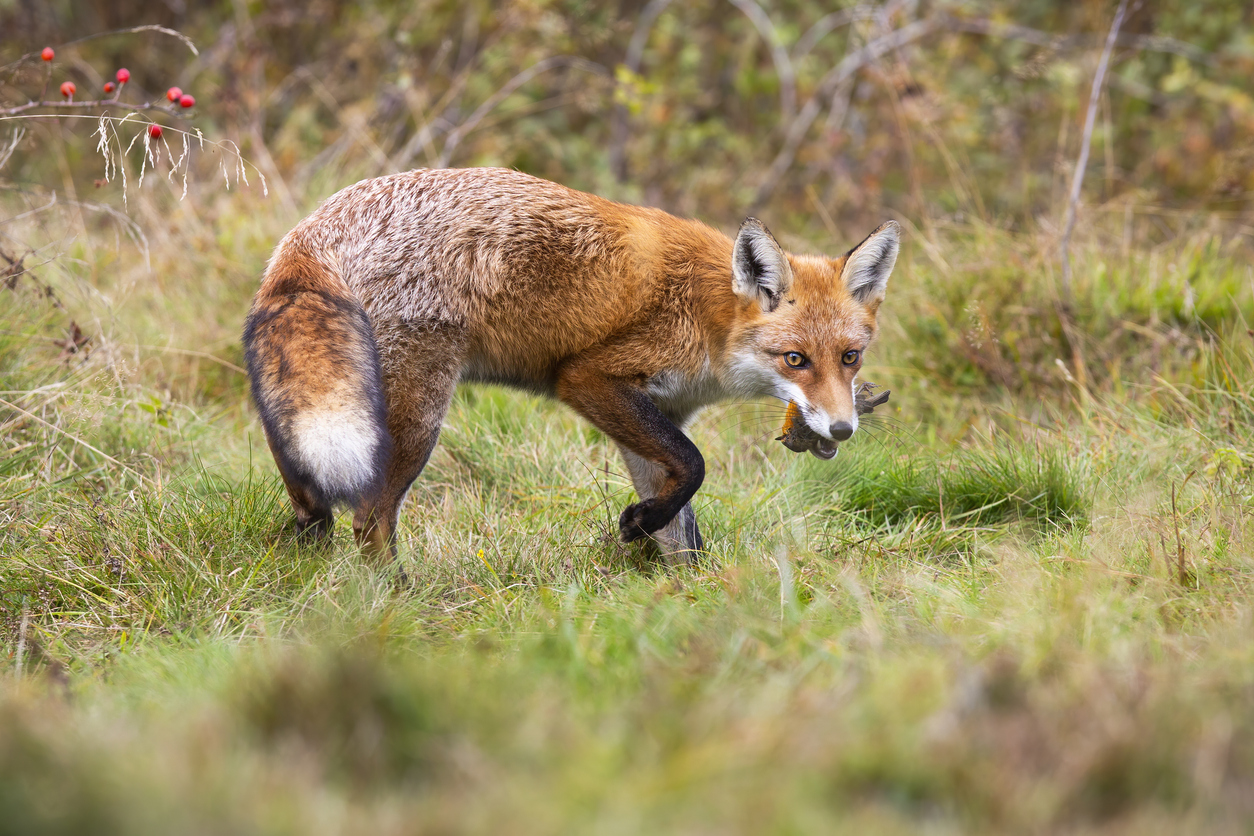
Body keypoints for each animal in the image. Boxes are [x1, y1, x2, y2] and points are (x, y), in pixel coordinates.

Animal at [243, 167, 899, 566]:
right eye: (795, 360)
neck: (705, 317)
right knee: (371, 521)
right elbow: (694, 466)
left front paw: (688, 588)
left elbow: (681, 520)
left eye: (850, 357)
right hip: (417, 415)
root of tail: (313, 227)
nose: (842, 429)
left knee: (309, 496)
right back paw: (392, 594)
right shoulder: (590, 380)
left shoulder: (660, 411)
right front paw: (639, 527)